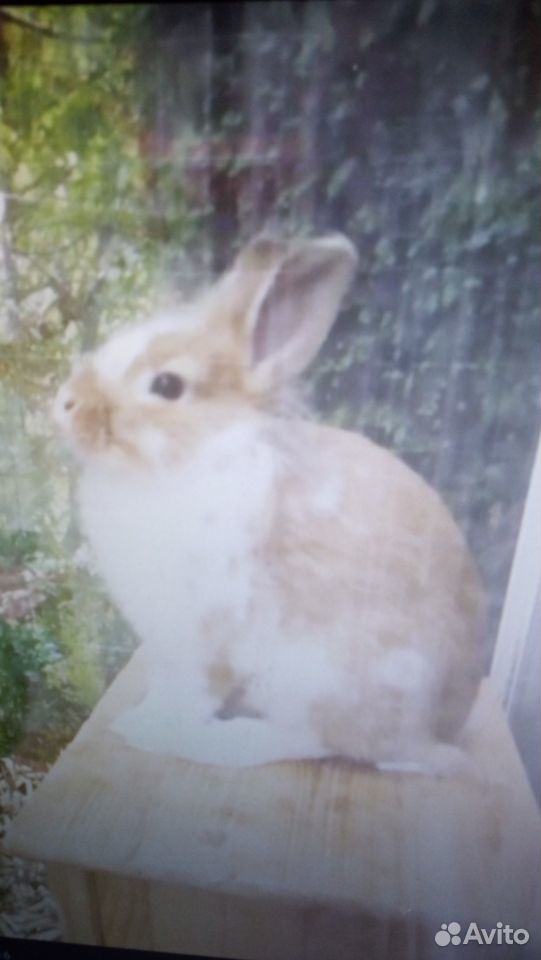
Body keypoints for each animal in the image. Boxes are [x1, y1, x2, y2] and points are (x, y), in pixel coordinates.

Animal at [53, 234, 484, 774]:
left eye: (167, 385)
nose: (65, 403)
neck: (197, 450)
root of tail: (432, 735)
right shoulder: (169, 645)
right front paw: (143, 716)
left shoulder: (208, 635)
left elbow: (192, 696)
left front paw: (149, 732)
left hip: (324, 676)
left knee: (314, 738)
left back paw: (225, 742)